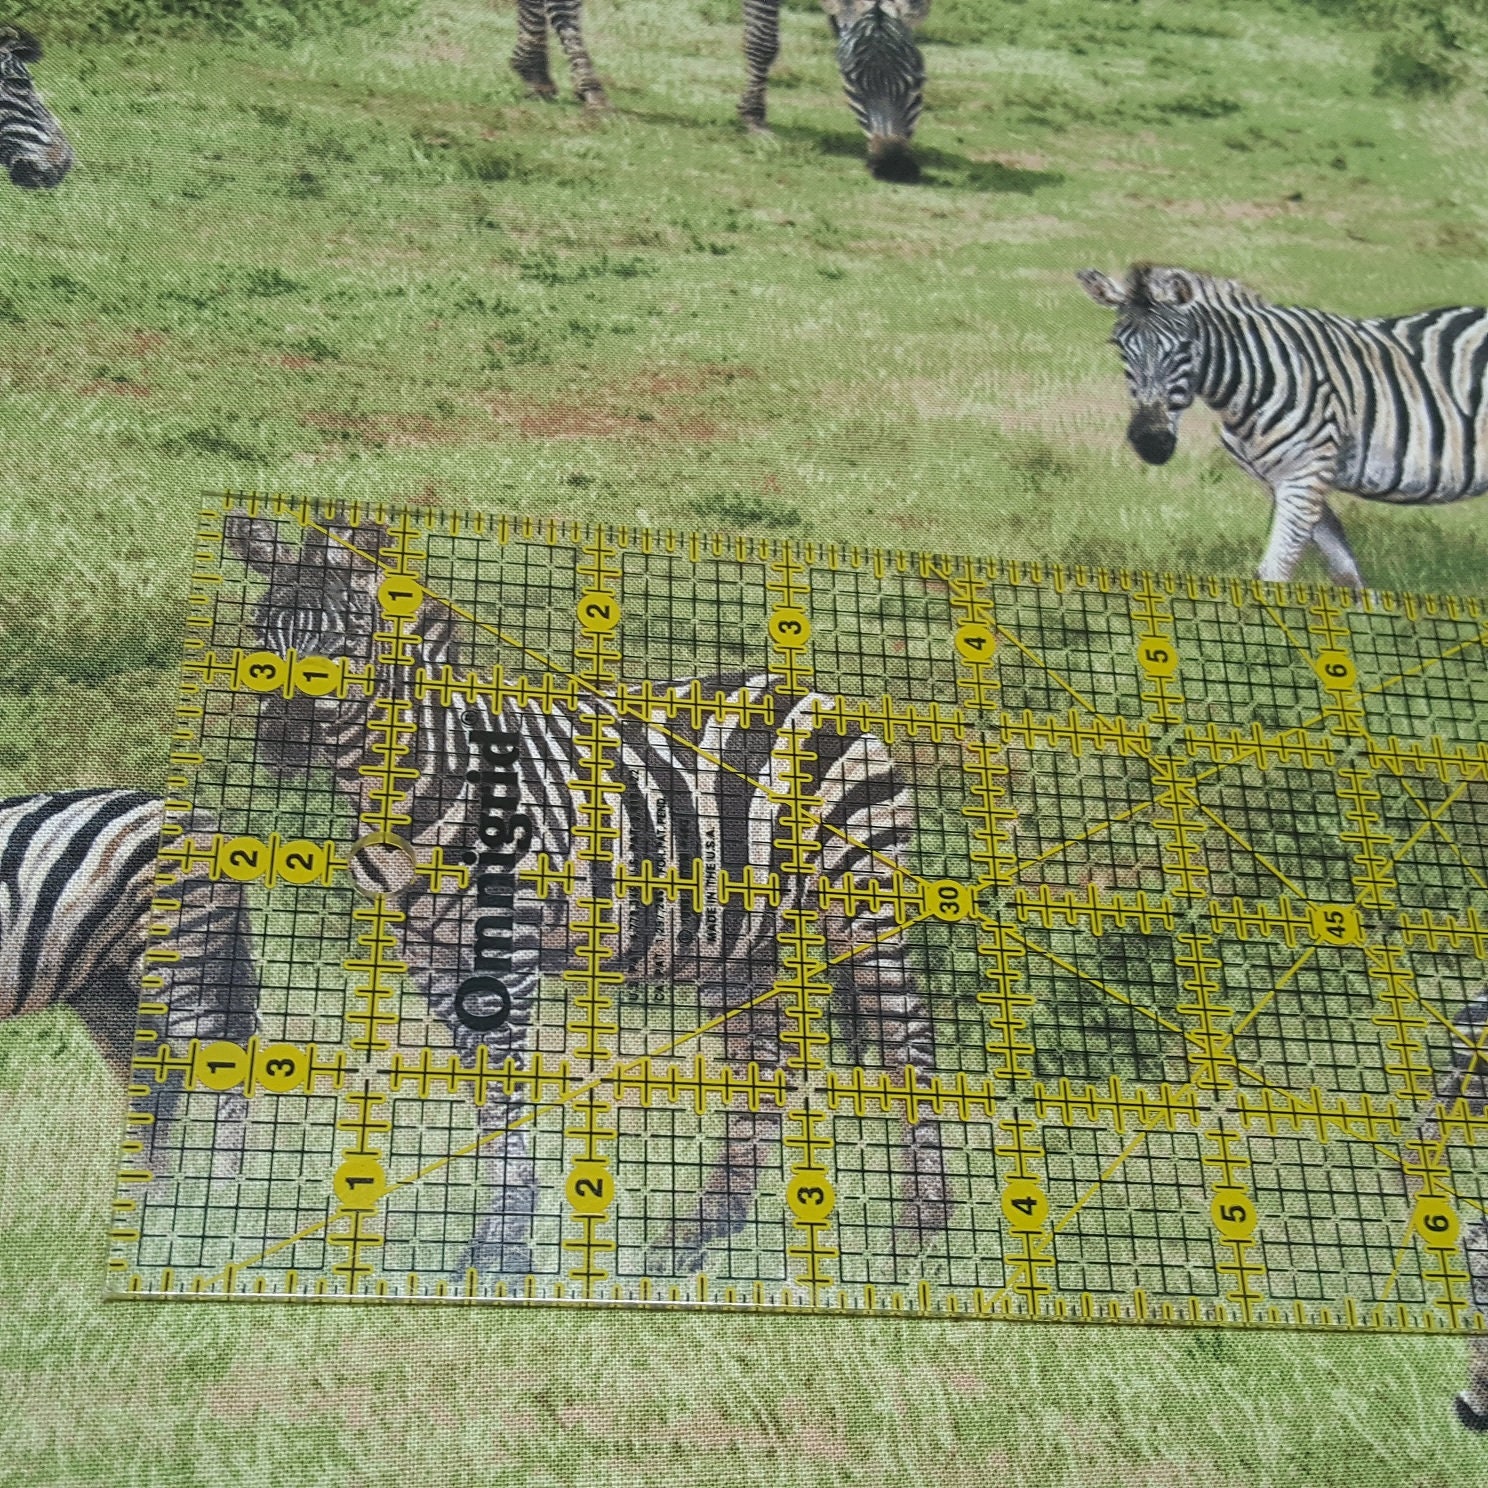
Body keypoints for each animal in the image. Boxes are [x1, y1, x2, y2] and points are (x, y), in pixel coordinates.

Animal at [224, 512, 950, 1277]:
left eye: (352, 634)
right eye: (262, 631)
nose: (283, 740)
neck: (414, 780)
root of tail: (820, 696)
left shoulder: (508, 946)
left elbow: (507, 1085)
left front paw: (506, 1245)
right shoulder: (427, 954)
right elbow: (484, 1091)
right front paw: (501, 1235)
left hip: (863, 901)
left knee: (908, 1045)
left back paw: (922, 1234)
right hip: (738, 939)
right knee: (765, 1067)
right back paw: (695, 1238)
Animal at [511, 0, 929, 182]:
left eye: (917, 83)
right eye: (852, 80)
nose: (894, 167)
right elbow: (763, 40)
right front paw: (754, 119)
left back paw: (534, 72)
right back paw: (591, 92)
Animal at [1076, 264, 1488, 590]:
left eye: (1184, 347)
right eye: (1118, 346)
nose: (1151, 442)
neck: (1253, 378)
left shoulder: (1303, 474)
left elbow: (1273, 574)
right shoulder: (1281, 479)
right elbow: (1344, 572)